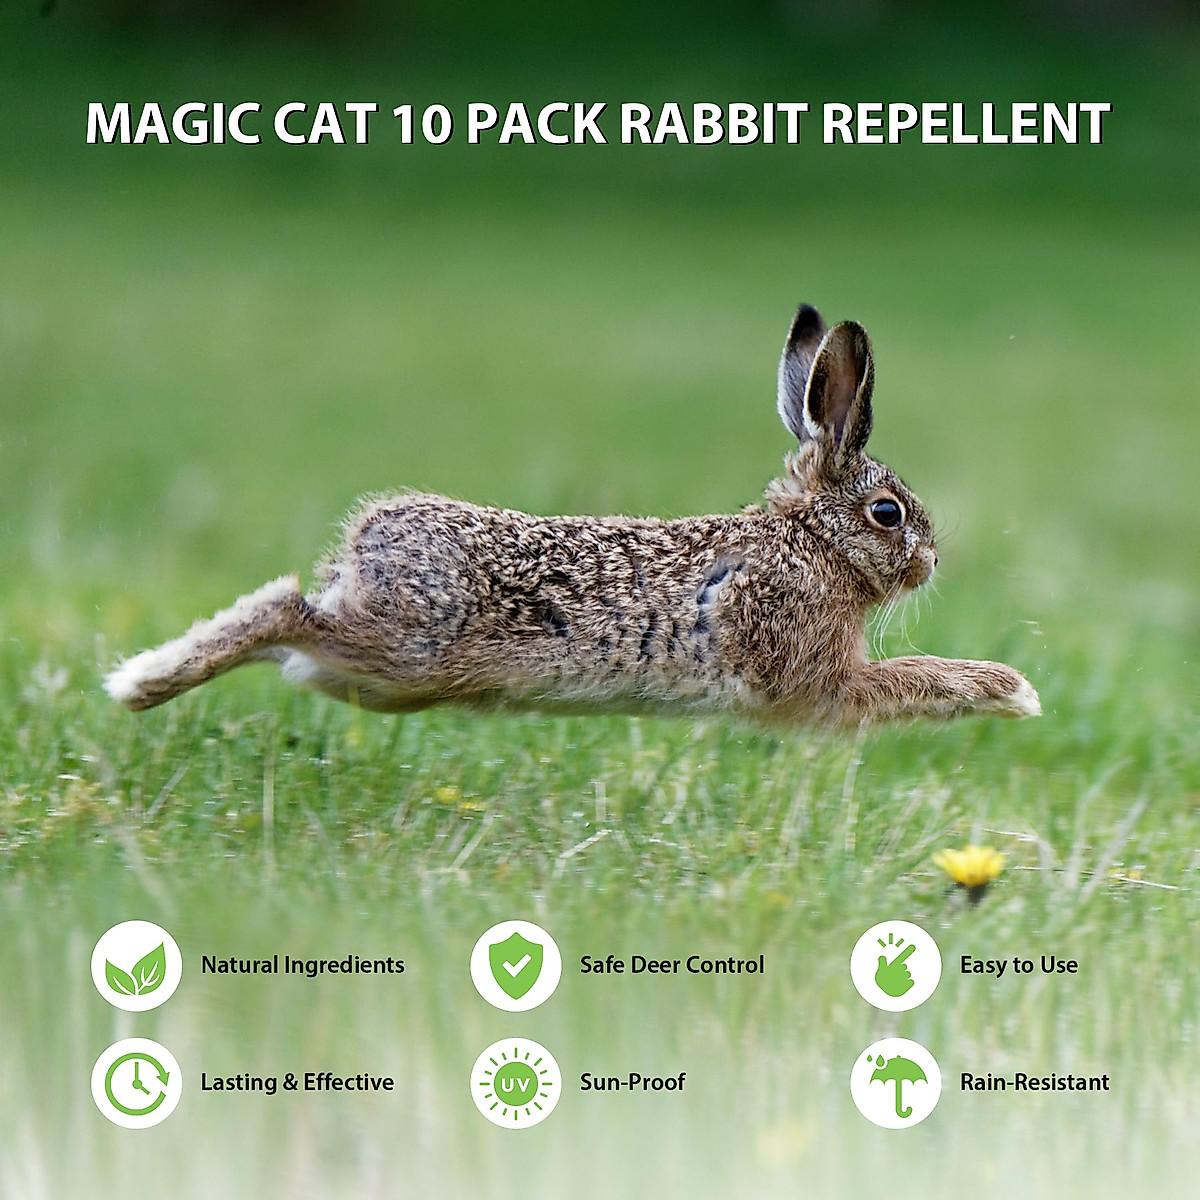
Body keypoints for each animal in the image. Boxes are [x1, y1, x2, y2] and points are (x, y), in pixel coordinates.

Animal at [104, 304, 1040, 727]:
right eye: (888, 513)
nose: (930, 562)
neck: (809, 543)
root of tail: (368, 542)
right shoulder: (810, 681)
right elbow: (911, 677)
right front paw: (1010, 691)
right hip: (405, 648)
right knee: (283, 606)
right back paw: (142, 683)